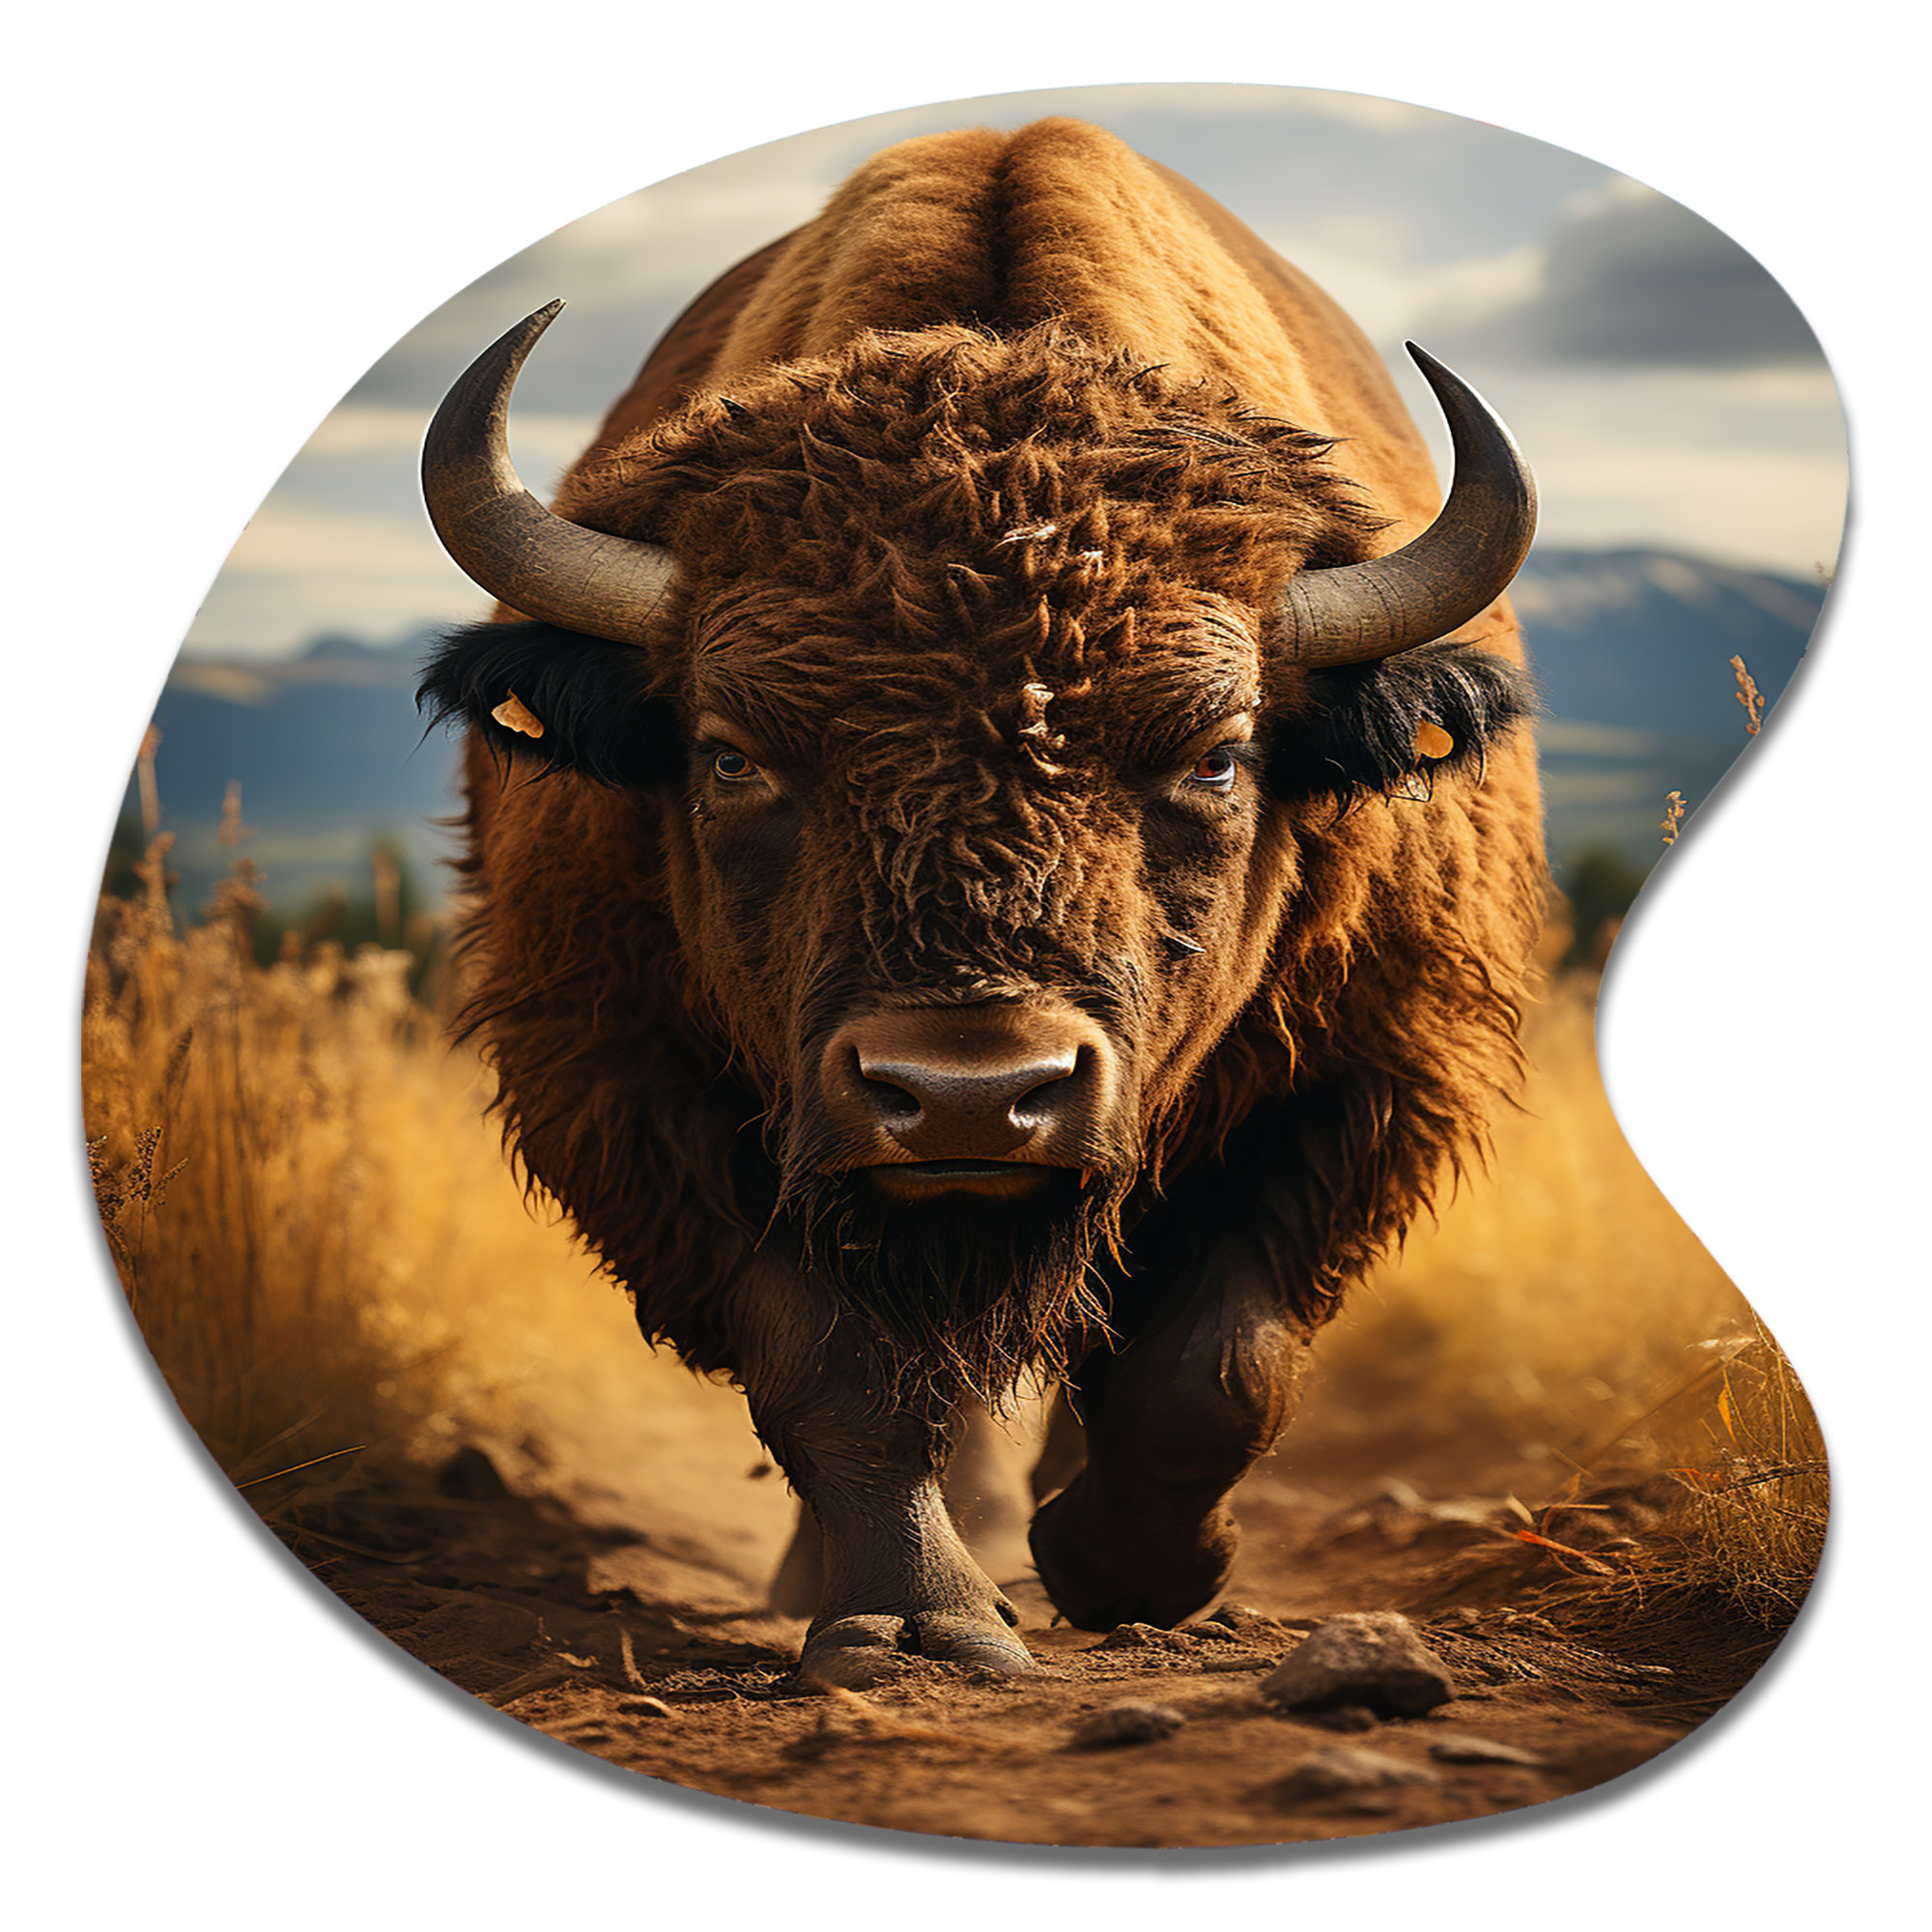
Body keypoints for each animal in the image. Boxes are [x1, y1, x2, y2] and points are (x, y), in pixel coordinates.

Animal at [418, 117, 1542, 1682]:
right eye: (729, 753)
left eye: (1219, 752)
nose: (965, 1096)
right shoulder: (629, 1087)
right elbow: (831, 1364)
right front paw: (919, 1620)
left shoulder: (1365, 1076)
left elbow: (1214, 1367)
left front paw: (1127, 1573)